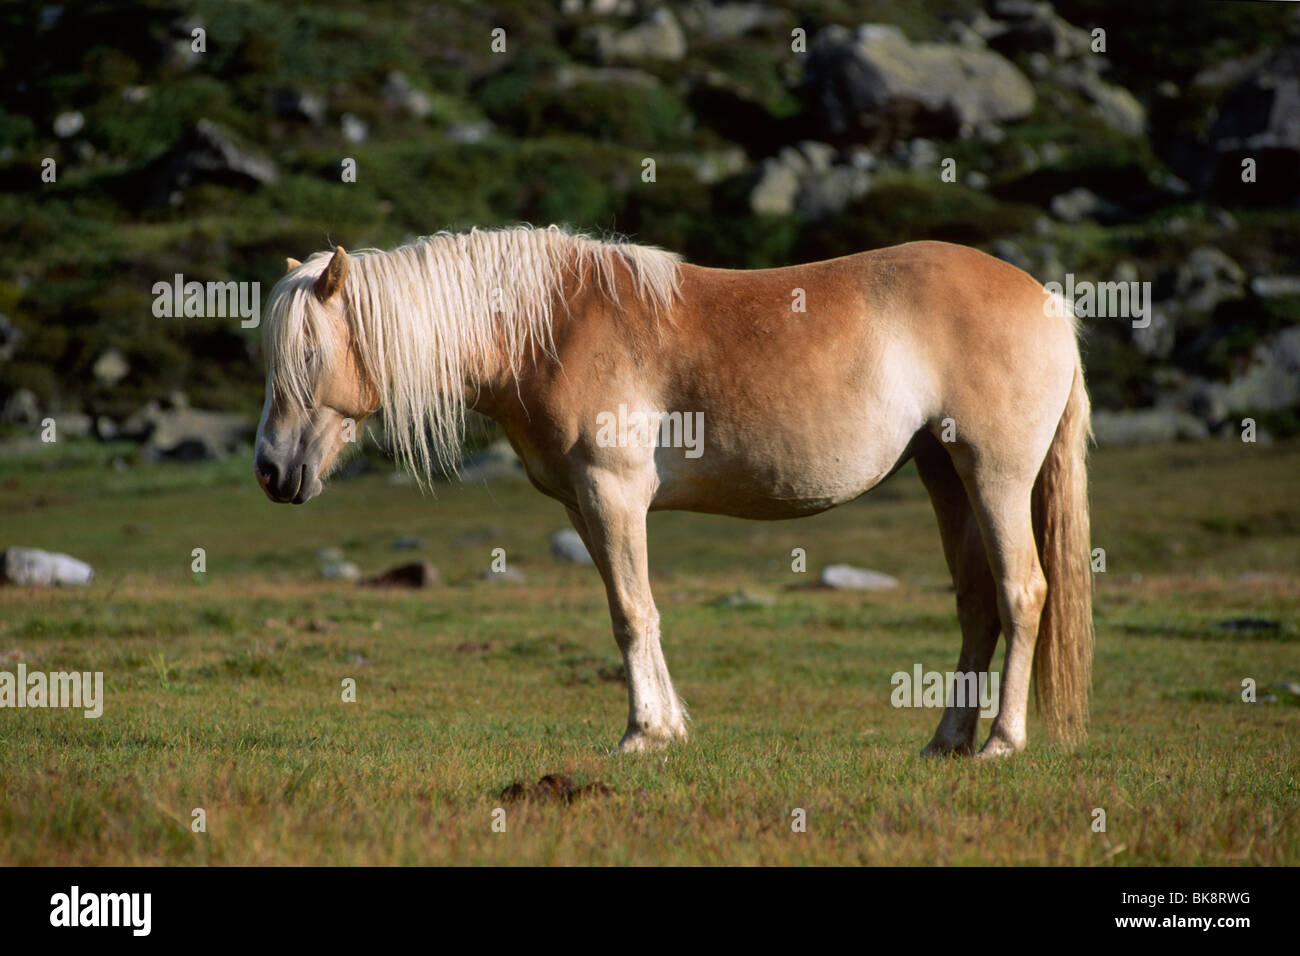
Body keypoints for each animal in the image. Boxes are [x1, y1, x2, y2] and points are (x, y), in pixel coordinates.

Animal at [250, 223, 1086, 754]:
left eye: (309, 353)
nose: (270, 470)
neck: (552, 329)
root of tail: (1047, 300)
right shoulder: (586, 505)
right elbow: (632, 610)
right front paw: (671, 726)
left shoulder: (613, 492)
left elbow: (631, 613)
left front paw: (643, 733)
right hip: (946, 475)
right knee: (977, 604)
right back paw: (946, 743)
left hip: (994, 474)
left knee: (1023, 592)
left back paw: (1002, 743)